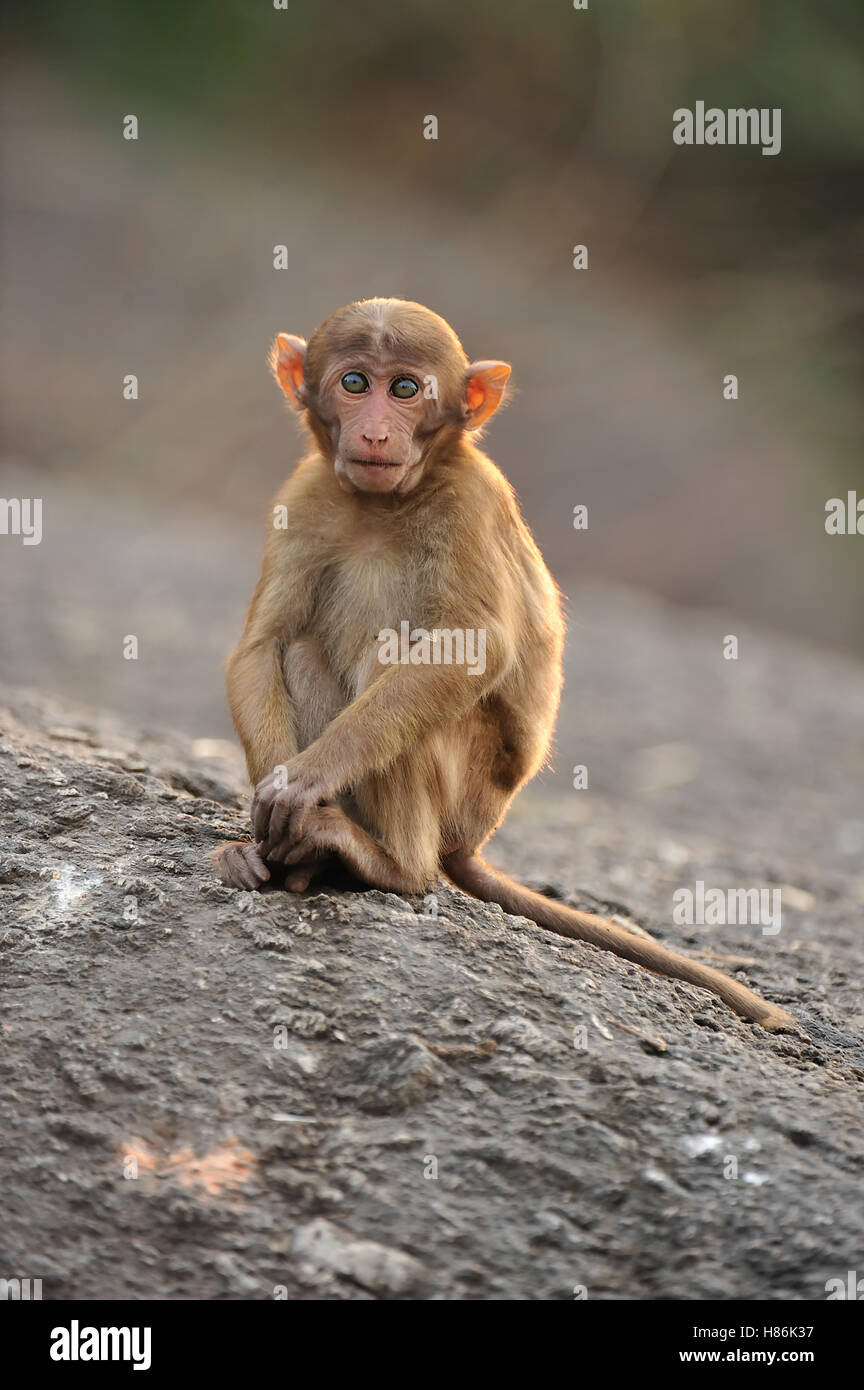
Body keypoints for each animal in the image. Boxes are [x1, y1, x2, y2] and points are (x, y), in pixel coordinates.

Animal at [213, 297, 795, 1032]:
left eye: (406, 389)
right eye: (354, 383)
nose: (374, 431)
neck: (385, 503)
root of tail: (470, 840)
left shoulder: (472, 501)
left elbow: (475, 648)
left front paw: (301, 784)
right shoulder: (307, 492)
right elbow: (262, 646)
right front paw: (264, 823)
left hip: (469, 782)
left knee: (391, 654)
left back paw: (387, 865)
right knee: (303, 651)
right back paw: (306, 860)